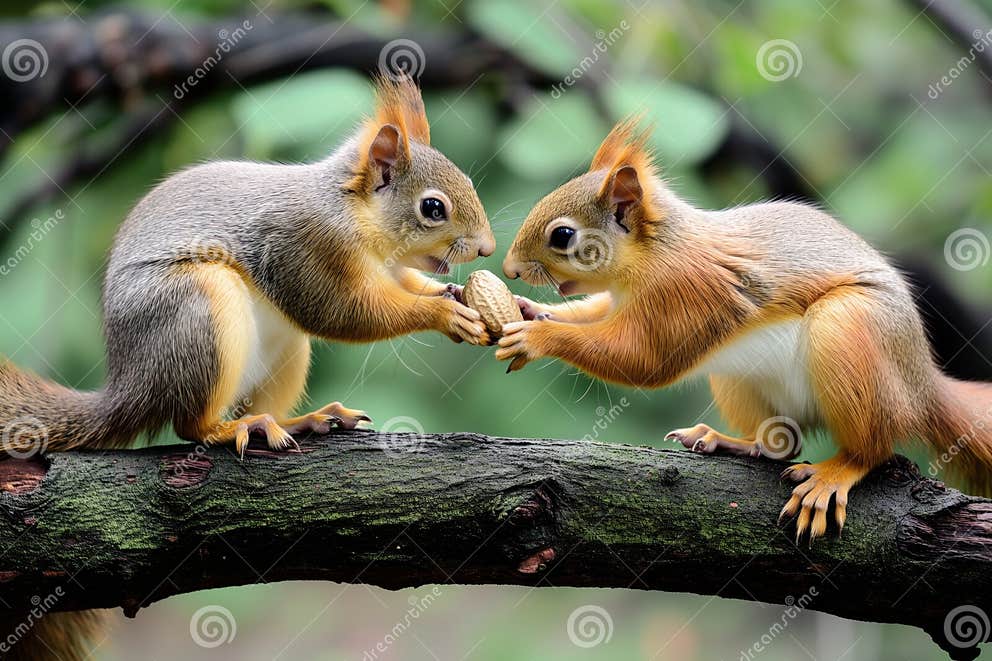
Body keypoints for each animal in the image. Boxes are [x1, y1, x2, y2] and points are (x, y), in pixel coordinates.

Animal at [498, 116, 992, 543]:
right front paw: (529, 310)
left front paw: (536, 336)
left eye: (562, 236)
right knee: (782, 443)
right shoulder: (620, 299)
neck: (654, 251)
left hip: (848, 329)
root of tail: (923, 384)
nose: (510, 270)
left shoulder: (686, 291)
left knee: (873, 450)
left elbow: (645, 361)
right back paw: (727, 441)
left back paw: (834, 473)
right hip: (739, 376)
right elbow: (592, 313)